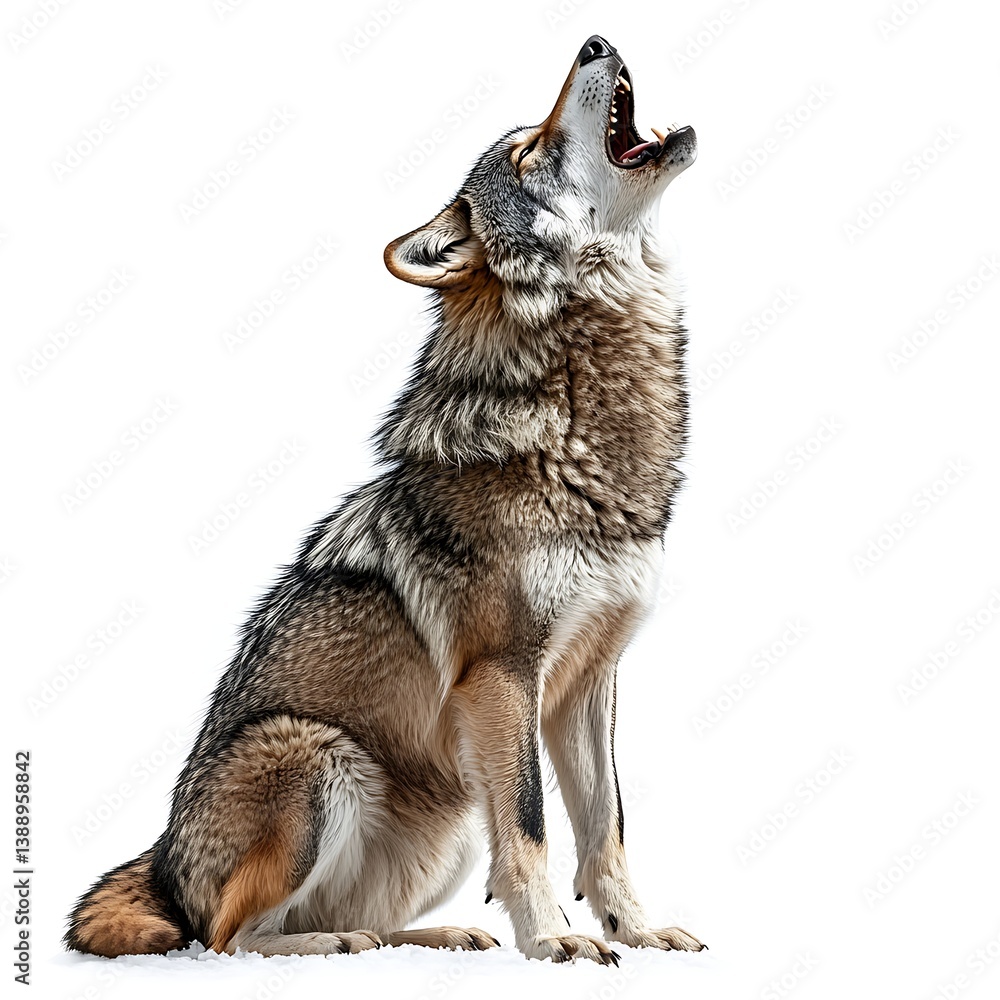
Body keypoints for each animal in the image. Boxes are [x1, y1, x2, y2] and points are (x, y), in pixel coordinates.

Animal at [65, 35, 702, 965]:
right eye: (527, 152)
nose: (595, 42)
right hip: (319, 756)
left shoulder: (590, 681)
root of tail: (162, 861)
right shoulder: (501, 677)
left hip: (447, 824)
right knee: (225, 937)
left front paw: (638, 929)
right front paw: (553, 940)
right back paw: (336, 946)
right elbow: (533, 823)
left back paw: (437, 933)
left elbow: (607, 825)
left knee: (335, 917)